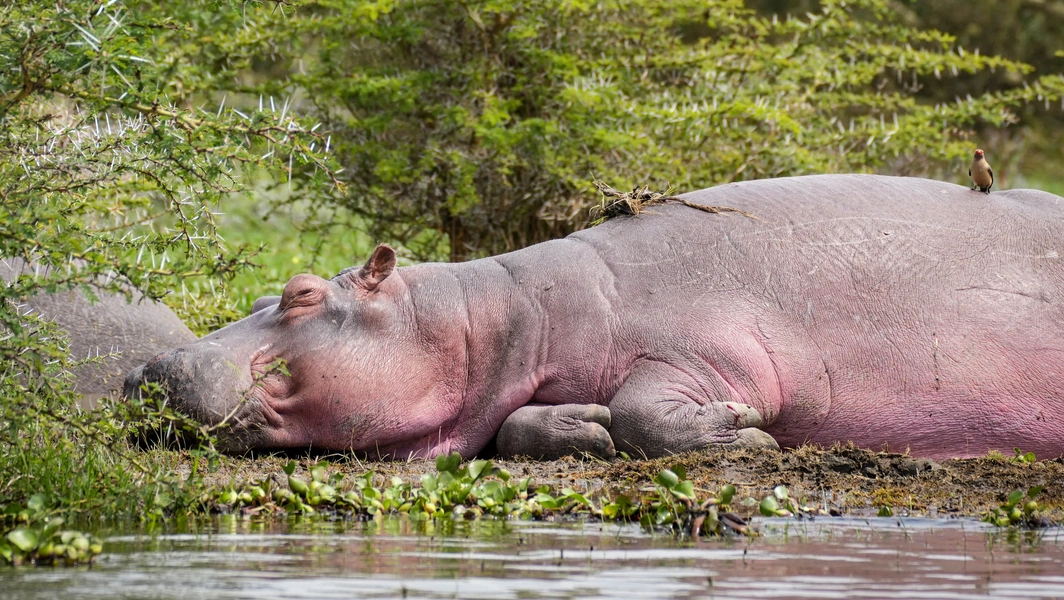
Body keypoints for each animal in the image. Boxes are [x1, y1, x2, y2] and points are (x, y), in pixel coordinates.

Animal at [124, 174, 1064, 461]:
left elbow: (652, 411)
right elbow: (524, 424)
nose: (150, 367)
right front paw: (585, 429)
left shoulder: (703, 347)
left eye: (303, 292)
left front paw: (744, 431)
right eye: (258, 296)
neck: (494, 318)